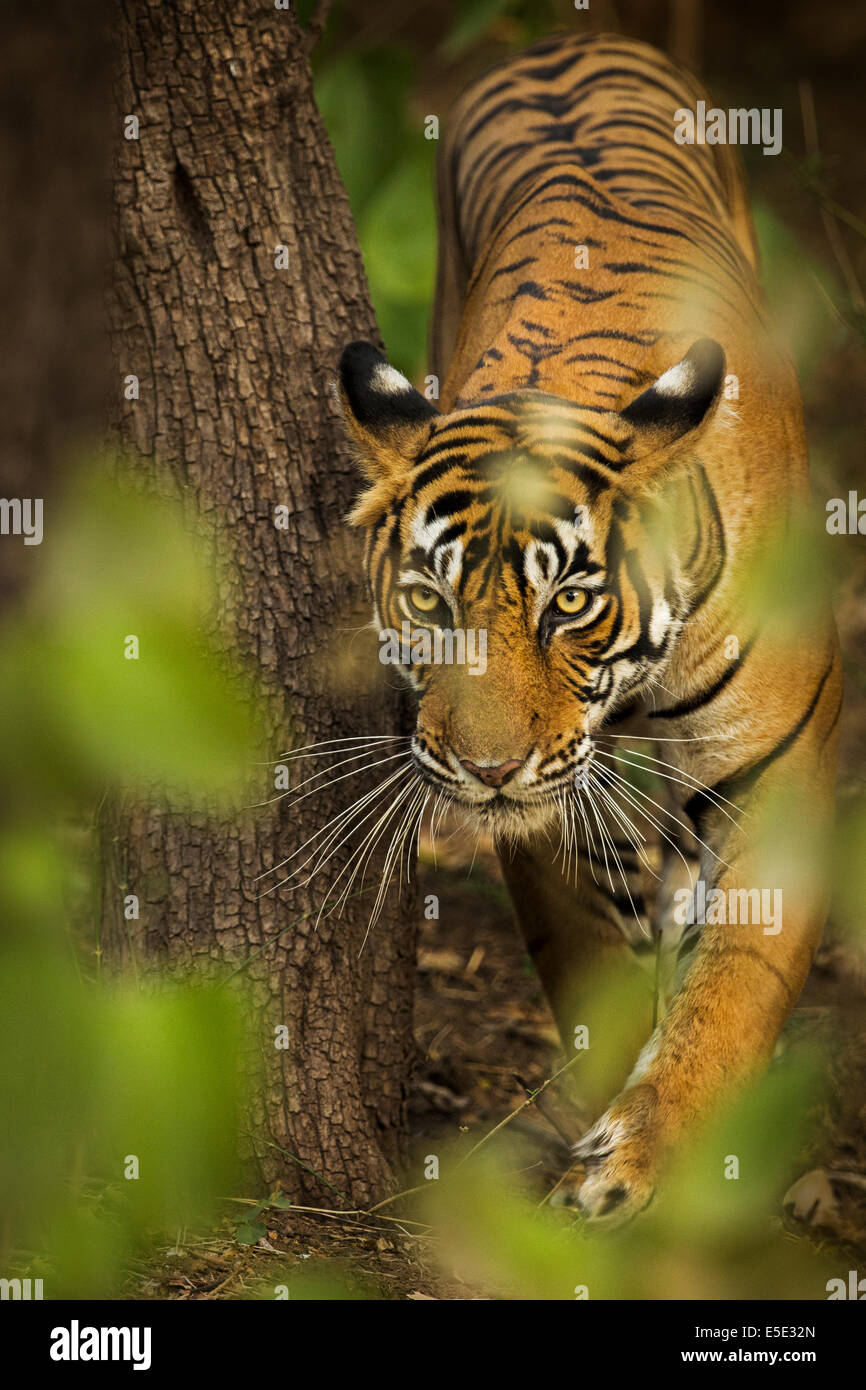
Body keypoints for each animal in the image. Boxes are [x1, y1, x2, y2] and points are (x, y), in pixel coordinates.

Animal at [335, 31, 842, 1222]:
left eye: (568, 601)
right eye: (427, 602)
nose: (484, 770)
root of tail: (571, 40)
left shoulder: (777, 766)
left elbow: (734, 985)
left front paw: (643, 1159)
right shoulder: (539, 807)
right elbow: (585, 959)